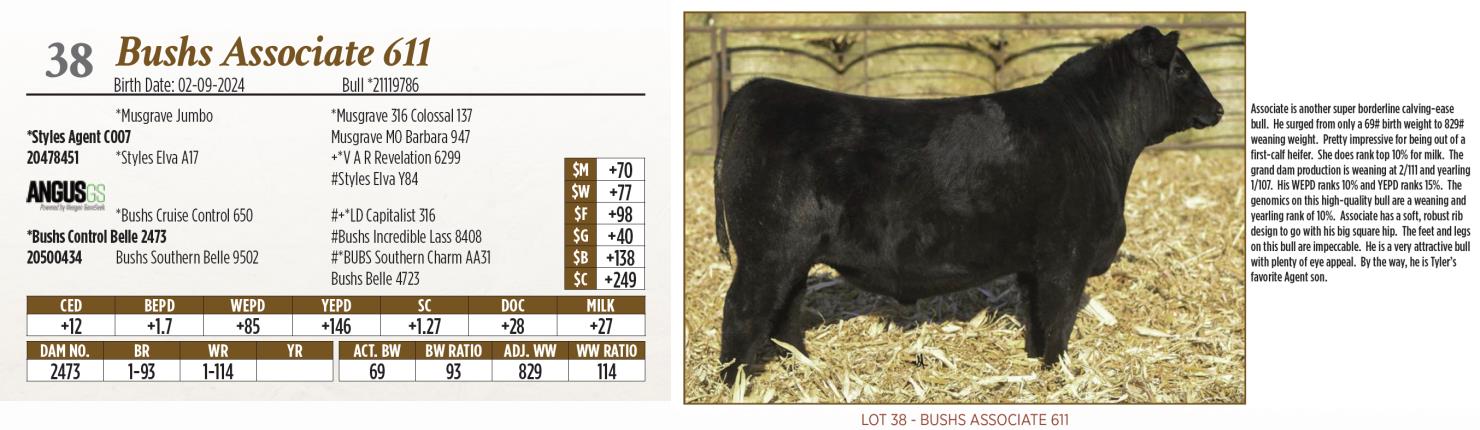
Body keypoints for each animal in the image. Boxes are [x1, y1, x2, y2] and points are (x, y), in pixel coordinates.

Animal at [711, 26, 1223, 383]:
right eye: (1180, 68)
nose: (1218, 108)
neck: (1097, 133)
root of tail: (758, 89)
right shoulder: (1067, 256)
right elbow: (1059, 318)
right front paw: (1057, 372)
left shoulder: (1035, 262)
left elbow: (1038, 318)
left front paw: (1035, 362)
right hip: (767, 252)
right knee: (742, 309)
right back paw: (736, 382)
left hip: (791, 255)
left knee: (785, 311)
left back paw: (802, 366)